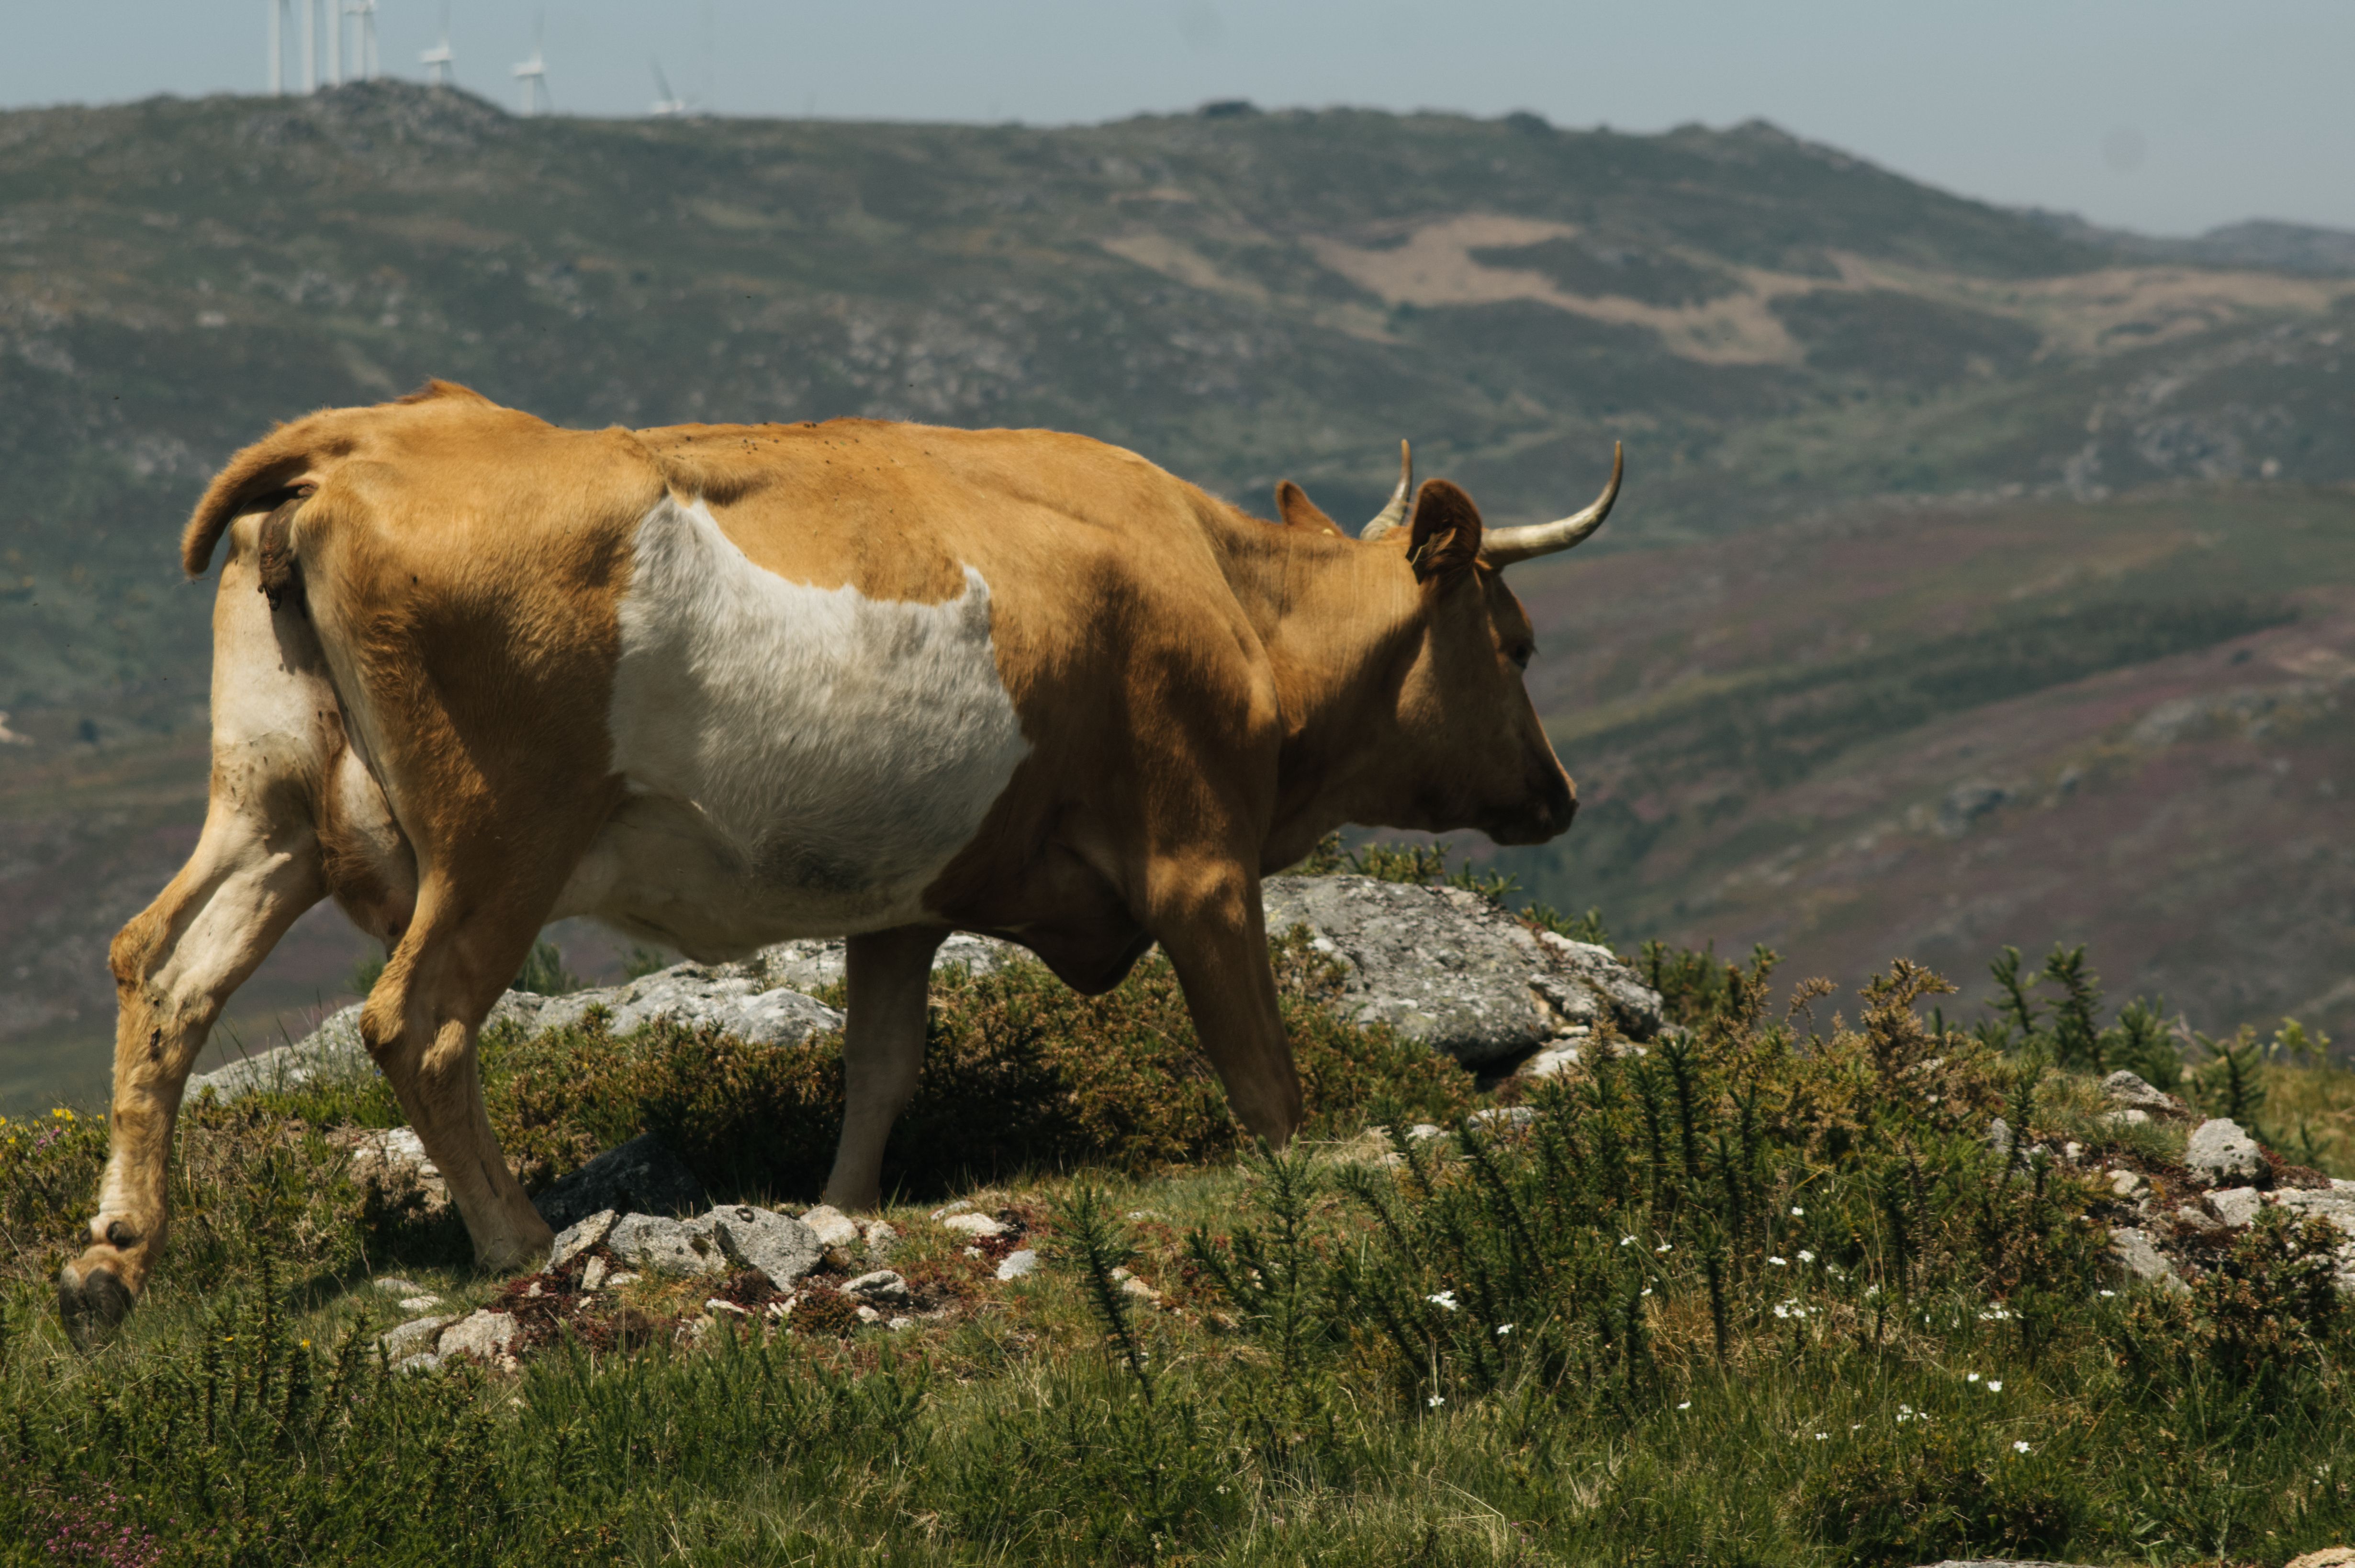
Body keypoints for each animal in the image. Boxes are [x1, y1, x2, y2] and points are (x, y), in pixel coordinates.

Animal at [56, 381, 1619, 1334]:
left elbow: (879, 1070)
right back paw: (516, 1244)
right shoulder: (1198, 860)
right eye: (1517, 641)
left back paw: (108, 1263)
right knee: (415, 1020)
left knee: (162, 971)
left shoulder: (898, 904)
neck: (1229, 600)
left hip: (272, 810)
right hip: (501, 838)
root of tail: (371, 434)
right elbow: (1260, 1073)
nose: (1557, 795)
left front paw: (844, 1215)